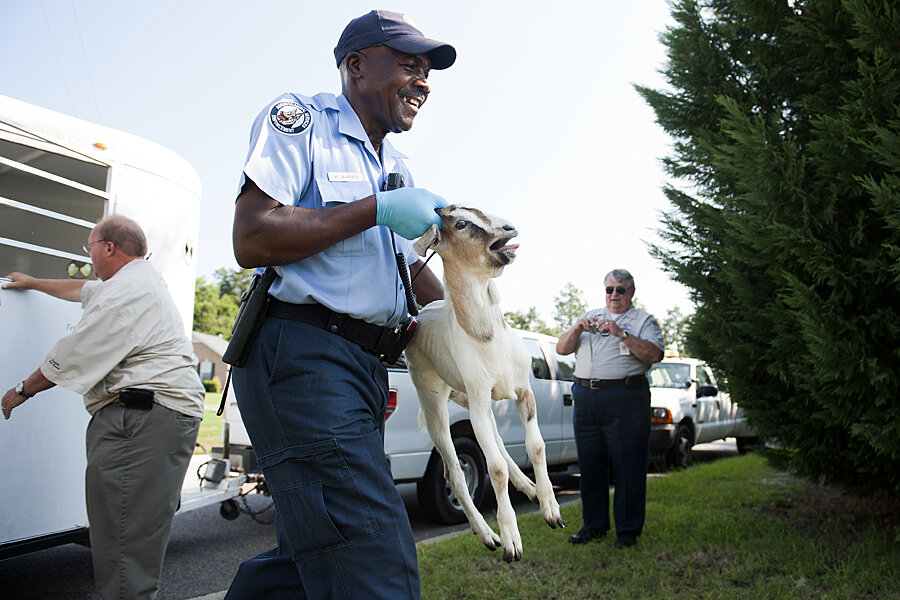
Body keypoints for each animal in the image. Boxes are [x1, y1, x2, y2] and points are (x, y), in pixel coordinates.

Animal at [405, 205, 565, 562]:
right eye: (461, 224)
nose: (509, 228)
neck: (487, 337)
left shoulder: (521, 391)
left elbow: (536, 446)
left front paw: (551, 510)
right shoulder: (479, 400)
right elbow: (494, 470)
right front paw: (511, 542)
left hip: (473, 402)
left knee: (500, 446)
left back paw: (530, 490)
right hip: (434, 399)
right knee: (455, 471)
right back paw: (488, 534)